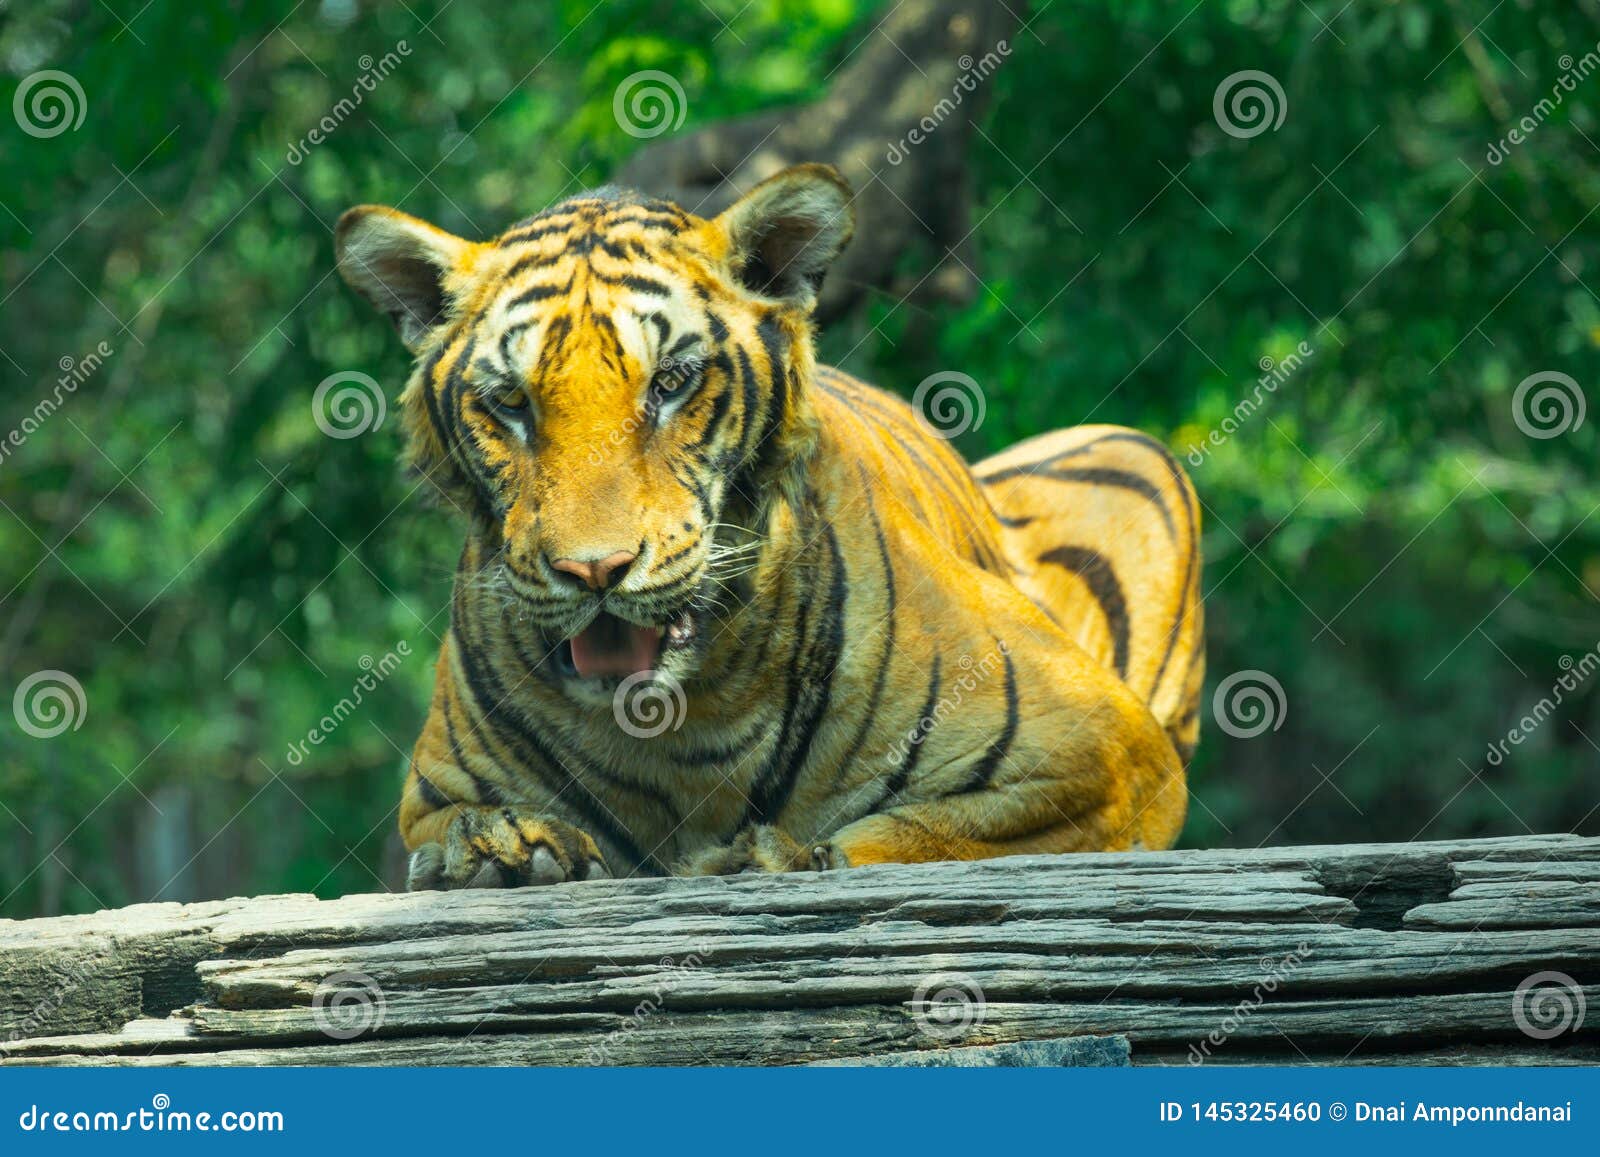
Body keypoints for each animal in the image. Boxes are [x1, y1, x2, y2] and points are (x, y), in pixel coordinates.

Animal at [333, 163, 1203, 889]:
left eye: (672, 383)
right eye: (511, 402)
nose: (594, 570)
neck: (684, 728)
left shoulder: (1106, 749)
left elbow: (919, 835)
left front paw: (767, 854)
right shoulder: (432, 793)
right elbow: (461, 826)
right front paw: (501, 846)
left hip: (1138, 455)